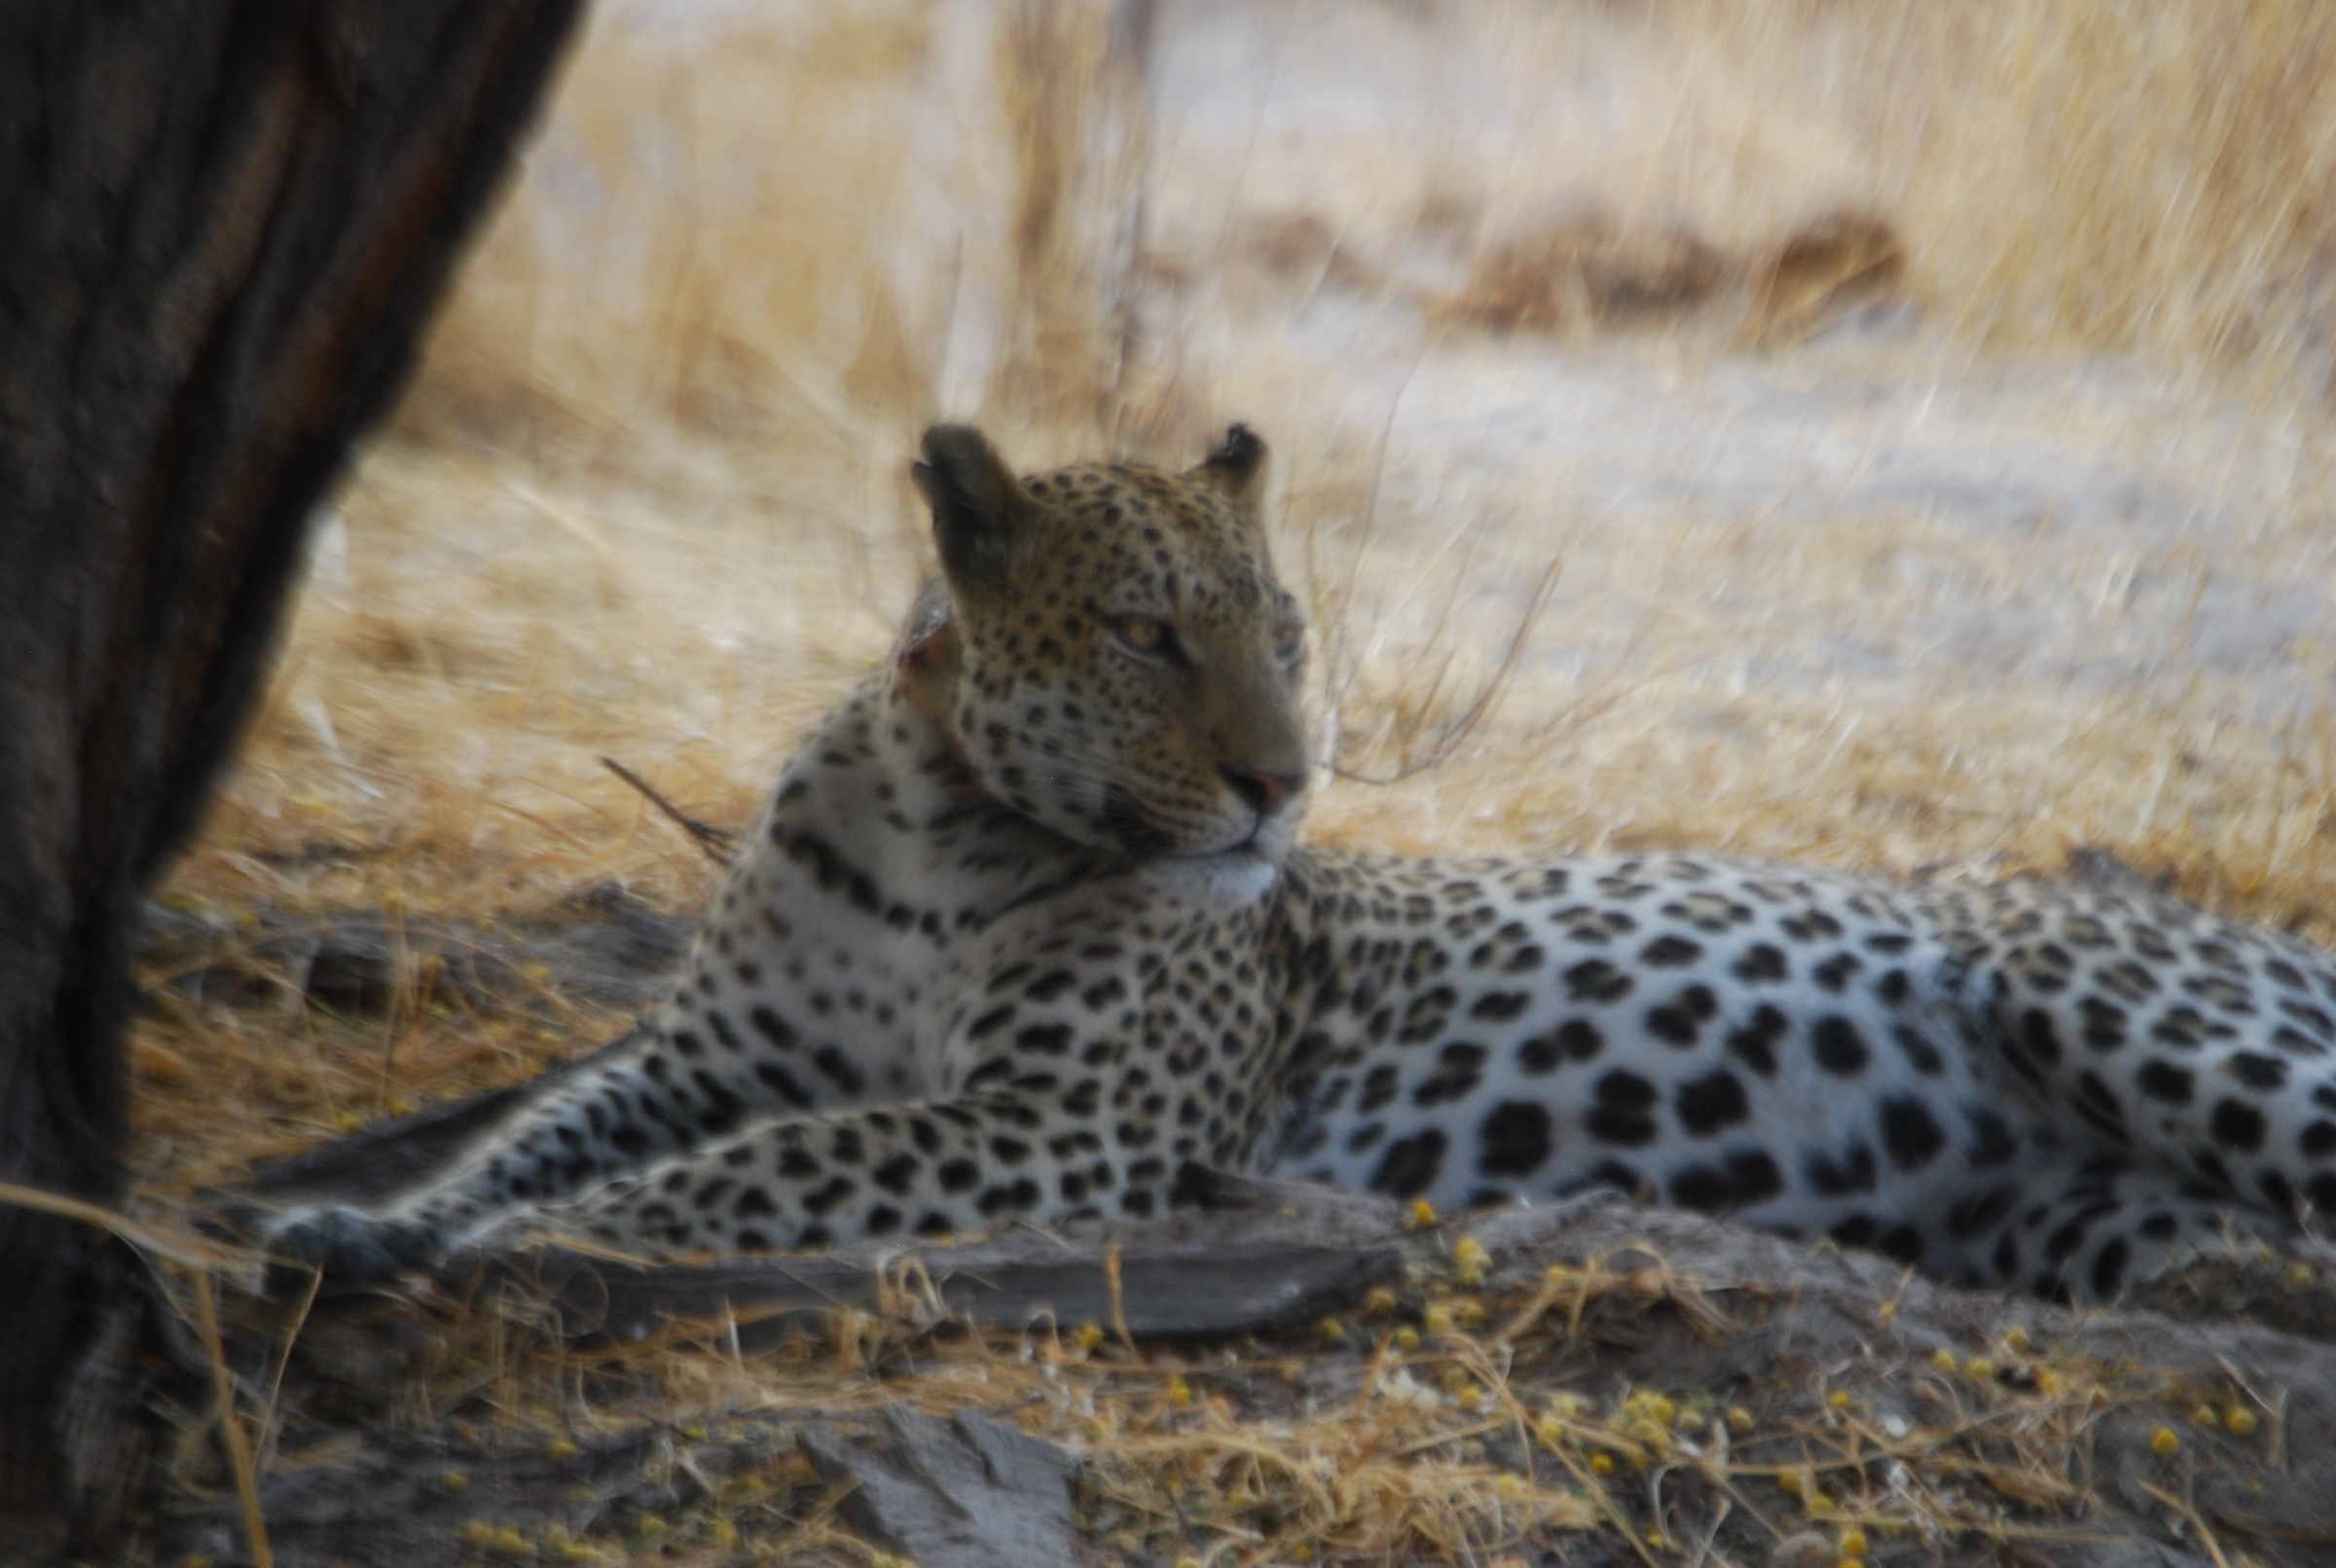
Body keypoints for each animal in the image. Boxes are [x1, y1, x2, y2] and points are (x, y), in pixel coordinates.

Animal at [265, 422, 2336, 1304]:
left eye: (1287, 635)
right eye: (1149, 636)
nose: (1284, 787)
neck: (940, 814)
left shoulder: (1062, 1124)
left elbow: (751, 1176)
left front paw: (523, 1248)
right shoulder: (705, 1057)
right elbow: (547, 1125)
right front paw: (381, 1220)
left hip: (2115, 997)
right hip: (2055, 1207)